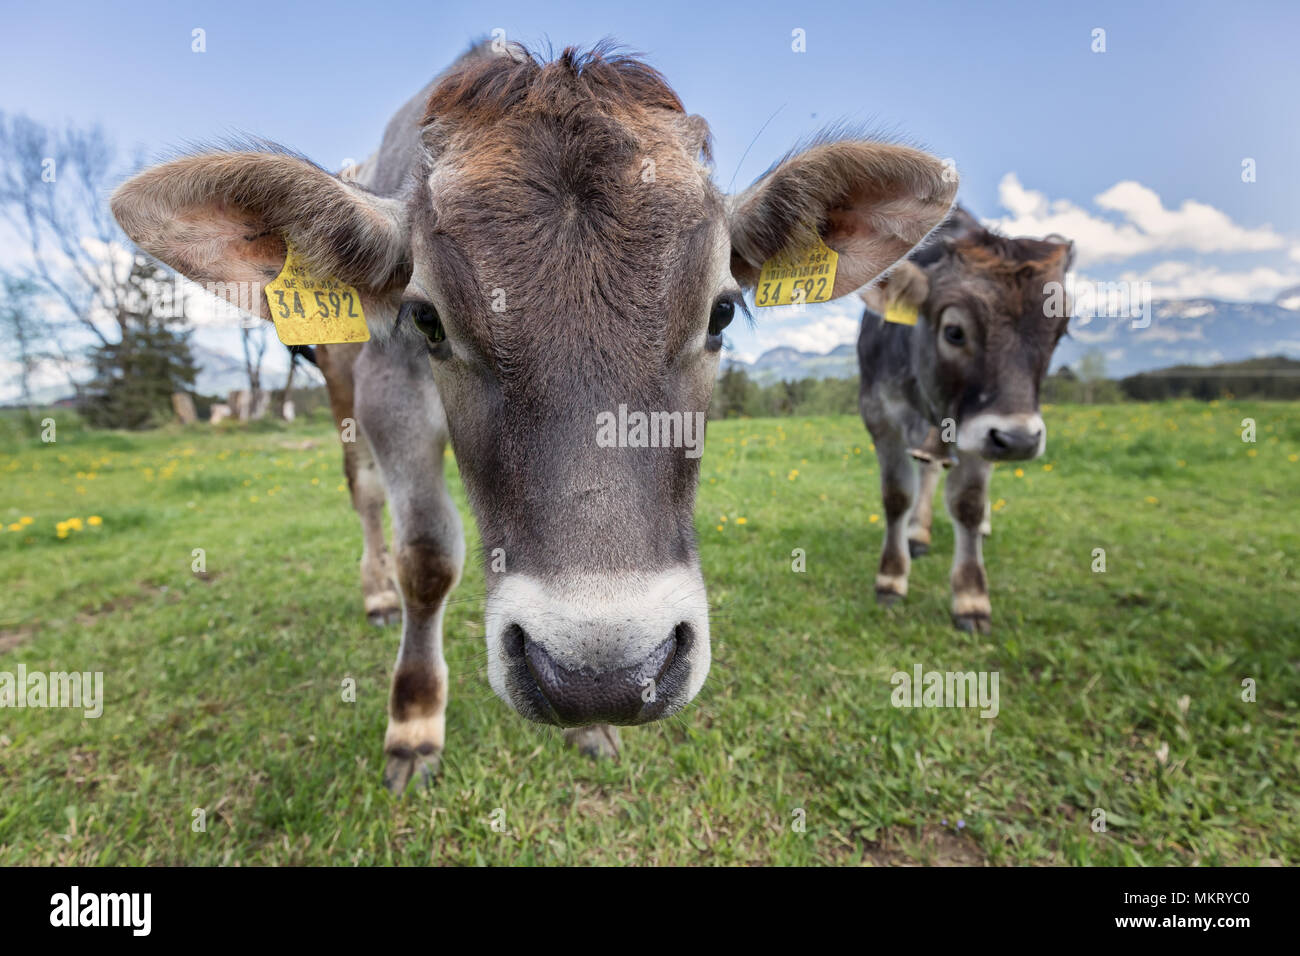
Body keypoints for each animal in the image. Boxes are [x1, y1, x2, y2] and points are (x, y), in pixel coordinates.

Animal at [111, 40, 958, 791]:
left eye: (722, 311)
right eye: (426, 319)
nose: (602, 675)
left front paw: (593, 726)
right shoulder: (390, 389)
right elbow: (428, 557)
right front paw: (413, 723)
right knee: (366, 494)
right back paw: (377, 592)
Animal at [856, 206, 1073, 633]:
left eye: (1059, 333)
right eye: (954, 332)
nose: (1020, 440)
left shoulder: (978, 430)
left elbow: (968, 503)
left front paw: (971, 598)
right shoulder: (878, 414)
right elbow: (896, 495)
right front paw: (891, 577)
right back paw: (917, 533)